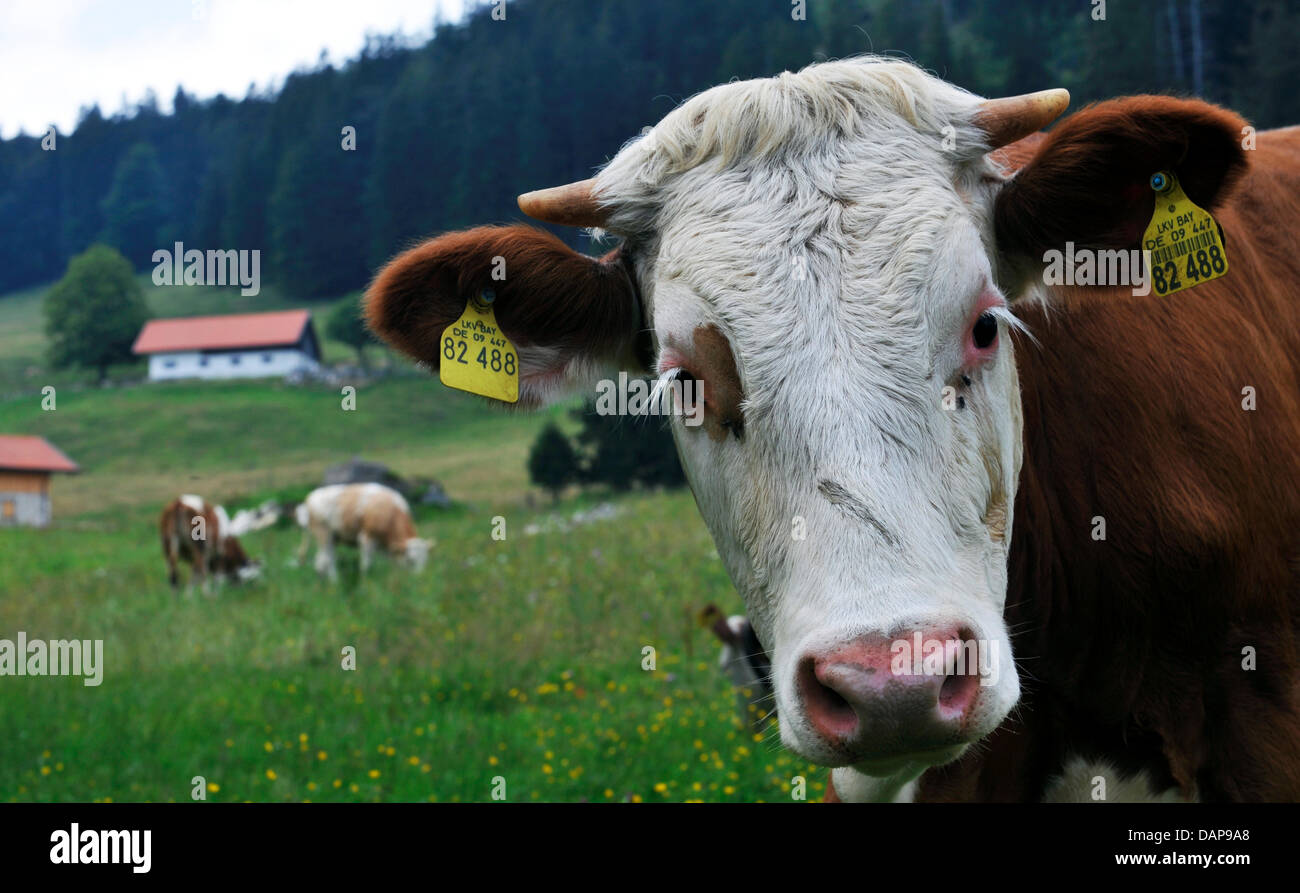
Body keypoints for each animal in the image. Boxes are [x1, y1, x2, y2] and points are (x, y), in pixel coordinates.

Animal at [295, 483, 432, 580]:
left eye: (425, 560)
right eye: (411, 560)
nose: (419, 579)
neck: (391, 513)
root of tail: (310, 497)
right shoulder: (366, 538)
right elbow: (366, 565)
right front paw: (365, 582)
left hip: (332, 538)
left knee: (320, 561)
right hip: (324, 535)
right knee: (328, 559)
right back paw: (334, 581)